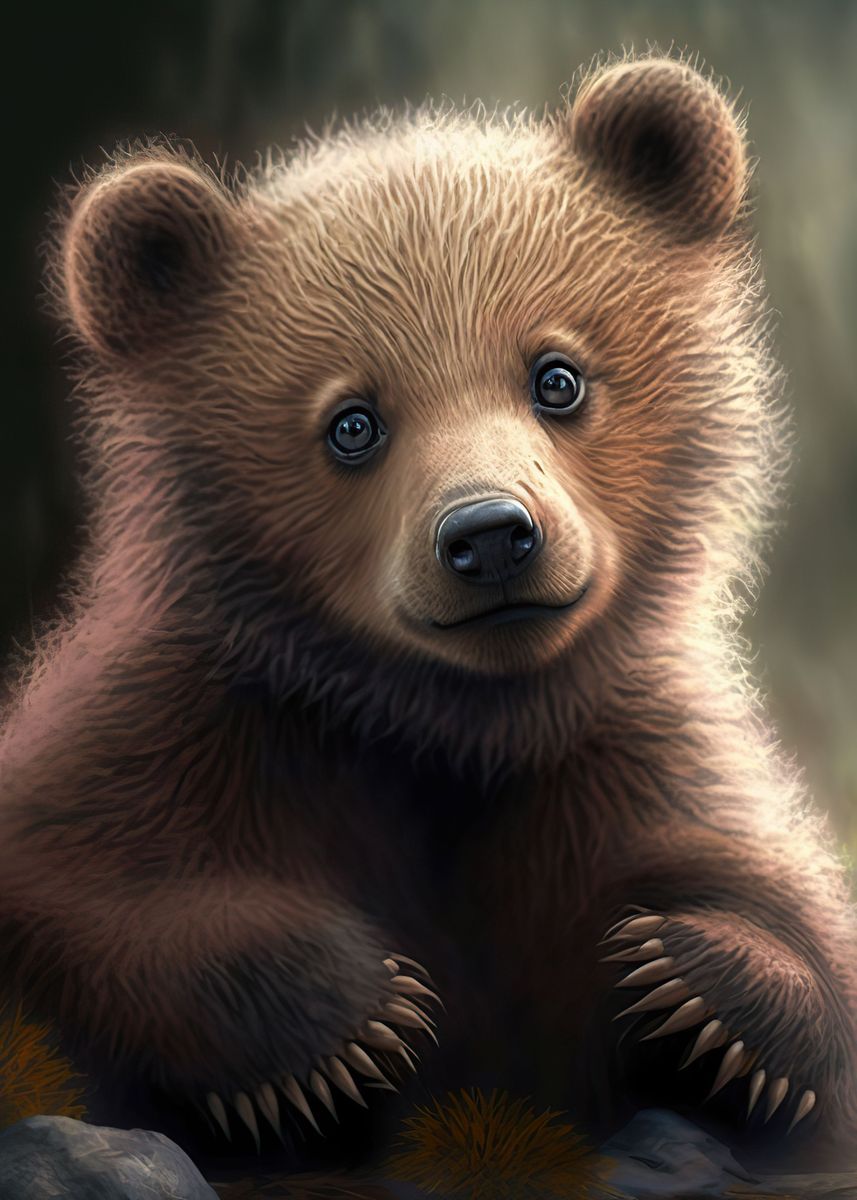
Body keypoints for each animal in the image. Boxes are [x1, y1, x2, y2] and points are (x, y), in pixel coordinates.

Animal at [1, 51, 856, 1179]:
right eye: (352, 423)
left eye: (557, 375)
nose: (489, 536)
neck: (452, 721)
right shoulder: (183, 734)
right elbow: (77, 891)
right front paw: (347, 1018)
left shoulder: (623, 763)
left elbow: (772, 903)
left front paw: (700, 984)